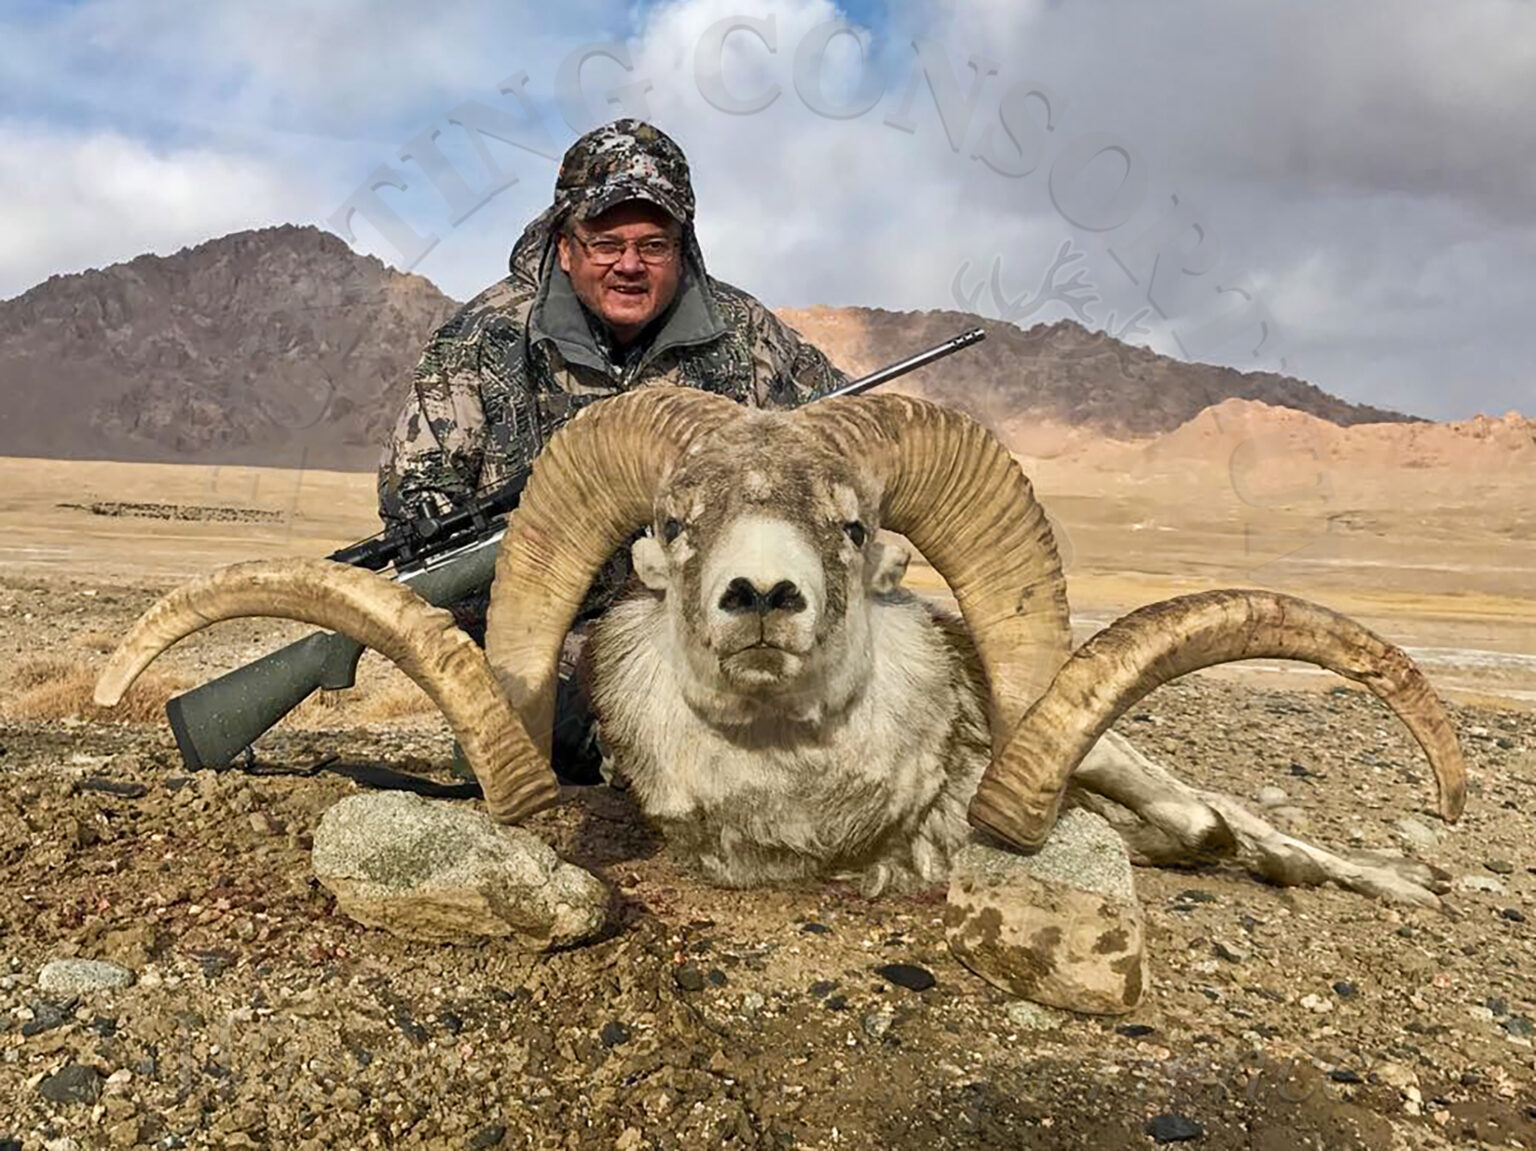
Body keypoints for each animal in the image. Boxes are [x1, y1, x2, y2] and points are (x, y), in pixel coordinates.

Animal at [95, 388, 1466, 906]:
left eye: (853, 523)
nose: (762, 592)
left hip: (1122, 760)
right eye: (673, 522)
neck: (799, 806)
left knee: (1199, 810)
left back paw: (1381, 874)